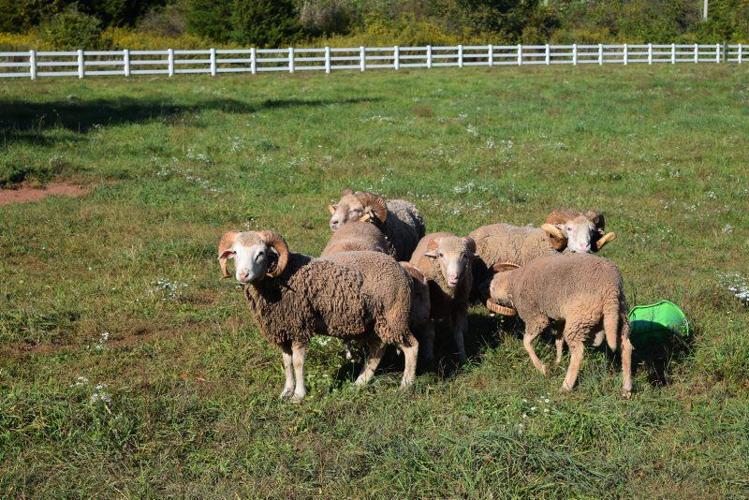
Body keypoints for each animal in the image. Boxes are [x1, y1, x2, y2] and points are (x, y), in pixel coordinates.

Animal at [218, 230, 419, 401]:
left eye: (261, 253)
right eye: (235, 252)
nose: (243, 275)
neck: (280, 279)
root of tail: (402, 270)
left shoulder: (299, 326)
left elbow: (298, 363)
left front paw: (299, 395)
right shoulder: (282, 328)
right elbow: (287, 362)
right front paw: (286, 391)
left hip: (395, 315)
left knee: (412, 347)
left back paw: (406, 385)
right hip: (376, 321)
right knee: (378, 349)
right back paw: (360, 382)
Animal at [409, 232, 475, 363]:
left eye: (465, 255)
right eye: (441, 255)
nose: (454, 277)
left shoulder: (459, 307)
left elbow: (458, 334)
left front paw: (463, 356)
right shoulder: (429, 311)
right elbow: (430, 334)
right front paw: (429, 357)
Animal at [486, 253, 633, 397]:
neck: (514, 281)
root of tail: (610, 287)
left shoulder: (536, 317)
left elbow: (526, 342)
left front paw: (542, 368)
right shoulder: (561, 317)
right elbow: (558, 340)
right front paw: (557, 361)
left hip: (580, 317)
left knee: (578, 352)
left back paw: (566, 386)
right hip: (620, 315)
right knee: (626, 346)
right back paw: (626, 389)